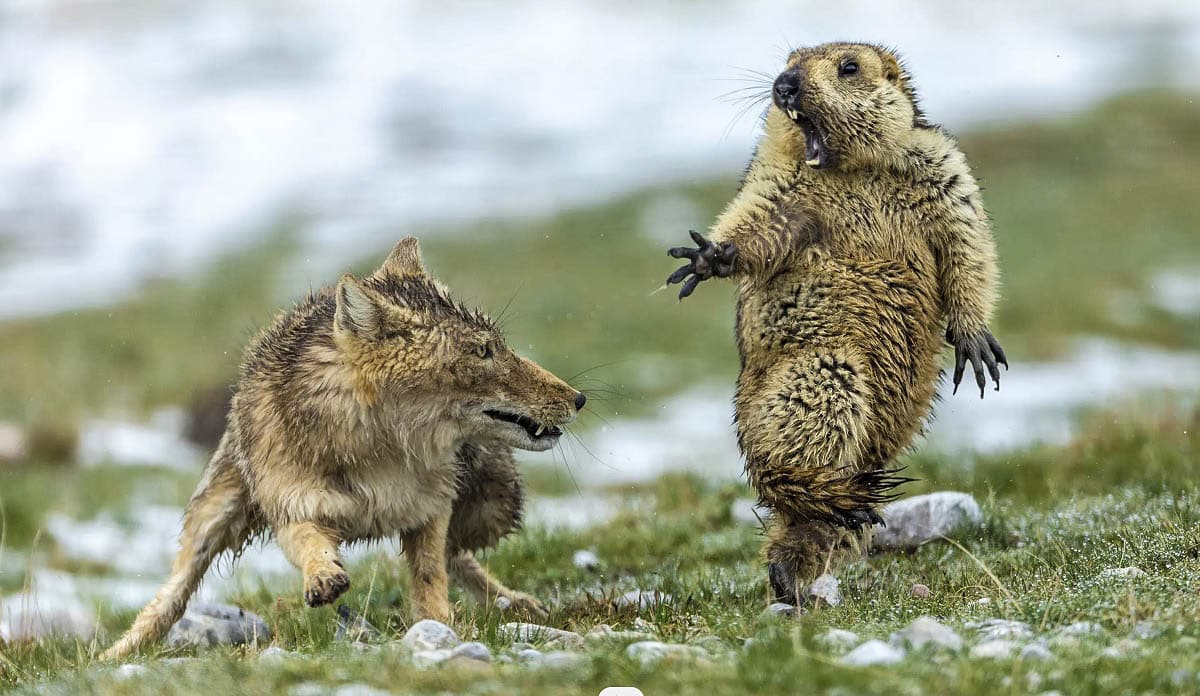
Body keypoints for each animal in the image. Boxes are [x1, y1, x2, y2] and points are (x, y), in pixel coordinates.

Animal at [102, 237, 586, 660]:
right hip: (212, 516)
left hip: (493, 506)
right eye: (482, 351)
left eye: (497, 346)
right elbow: (309, 544)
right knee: (171, 597)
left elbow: (430, 575)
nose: (579, 398)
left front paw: (440, 627)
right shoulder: (294, 507)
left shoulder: (430, 508)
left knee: (460, 556)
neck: (378, 453)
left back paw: (517, 603)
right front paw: (323, 577)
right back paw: (114, 653)